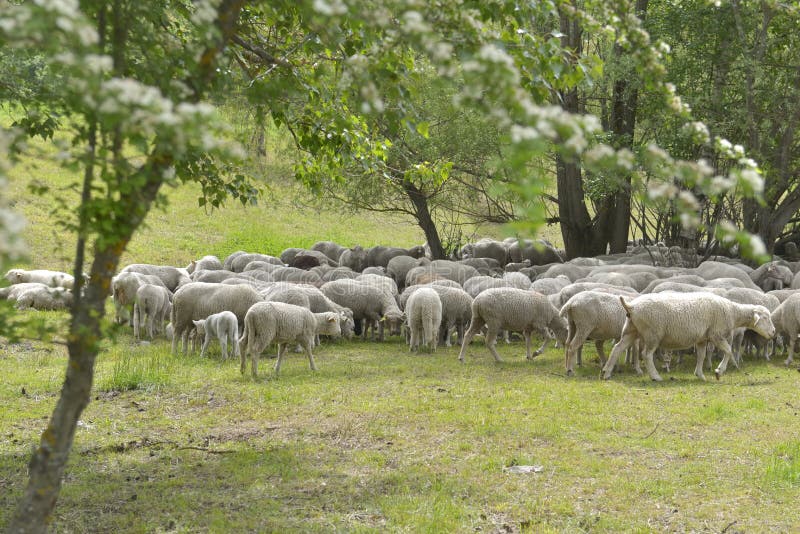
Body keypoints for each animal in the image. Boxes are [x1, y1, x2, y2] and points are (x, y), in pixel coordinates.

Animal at [601, 292, 775, 381]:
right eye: (766, 318)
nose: (773, 332)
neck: (732, 311)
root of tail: (632, 307)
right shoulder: (716, 334)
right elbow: (728, 351)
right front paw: (719, 371)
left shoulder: (702, 338)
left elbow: (701, 356)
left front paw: (700, 375)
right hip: (653, 333)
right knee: (647, 355)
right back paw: (656, 376)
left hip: (631, 330)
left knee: (617, 349)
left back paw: (607, 373)